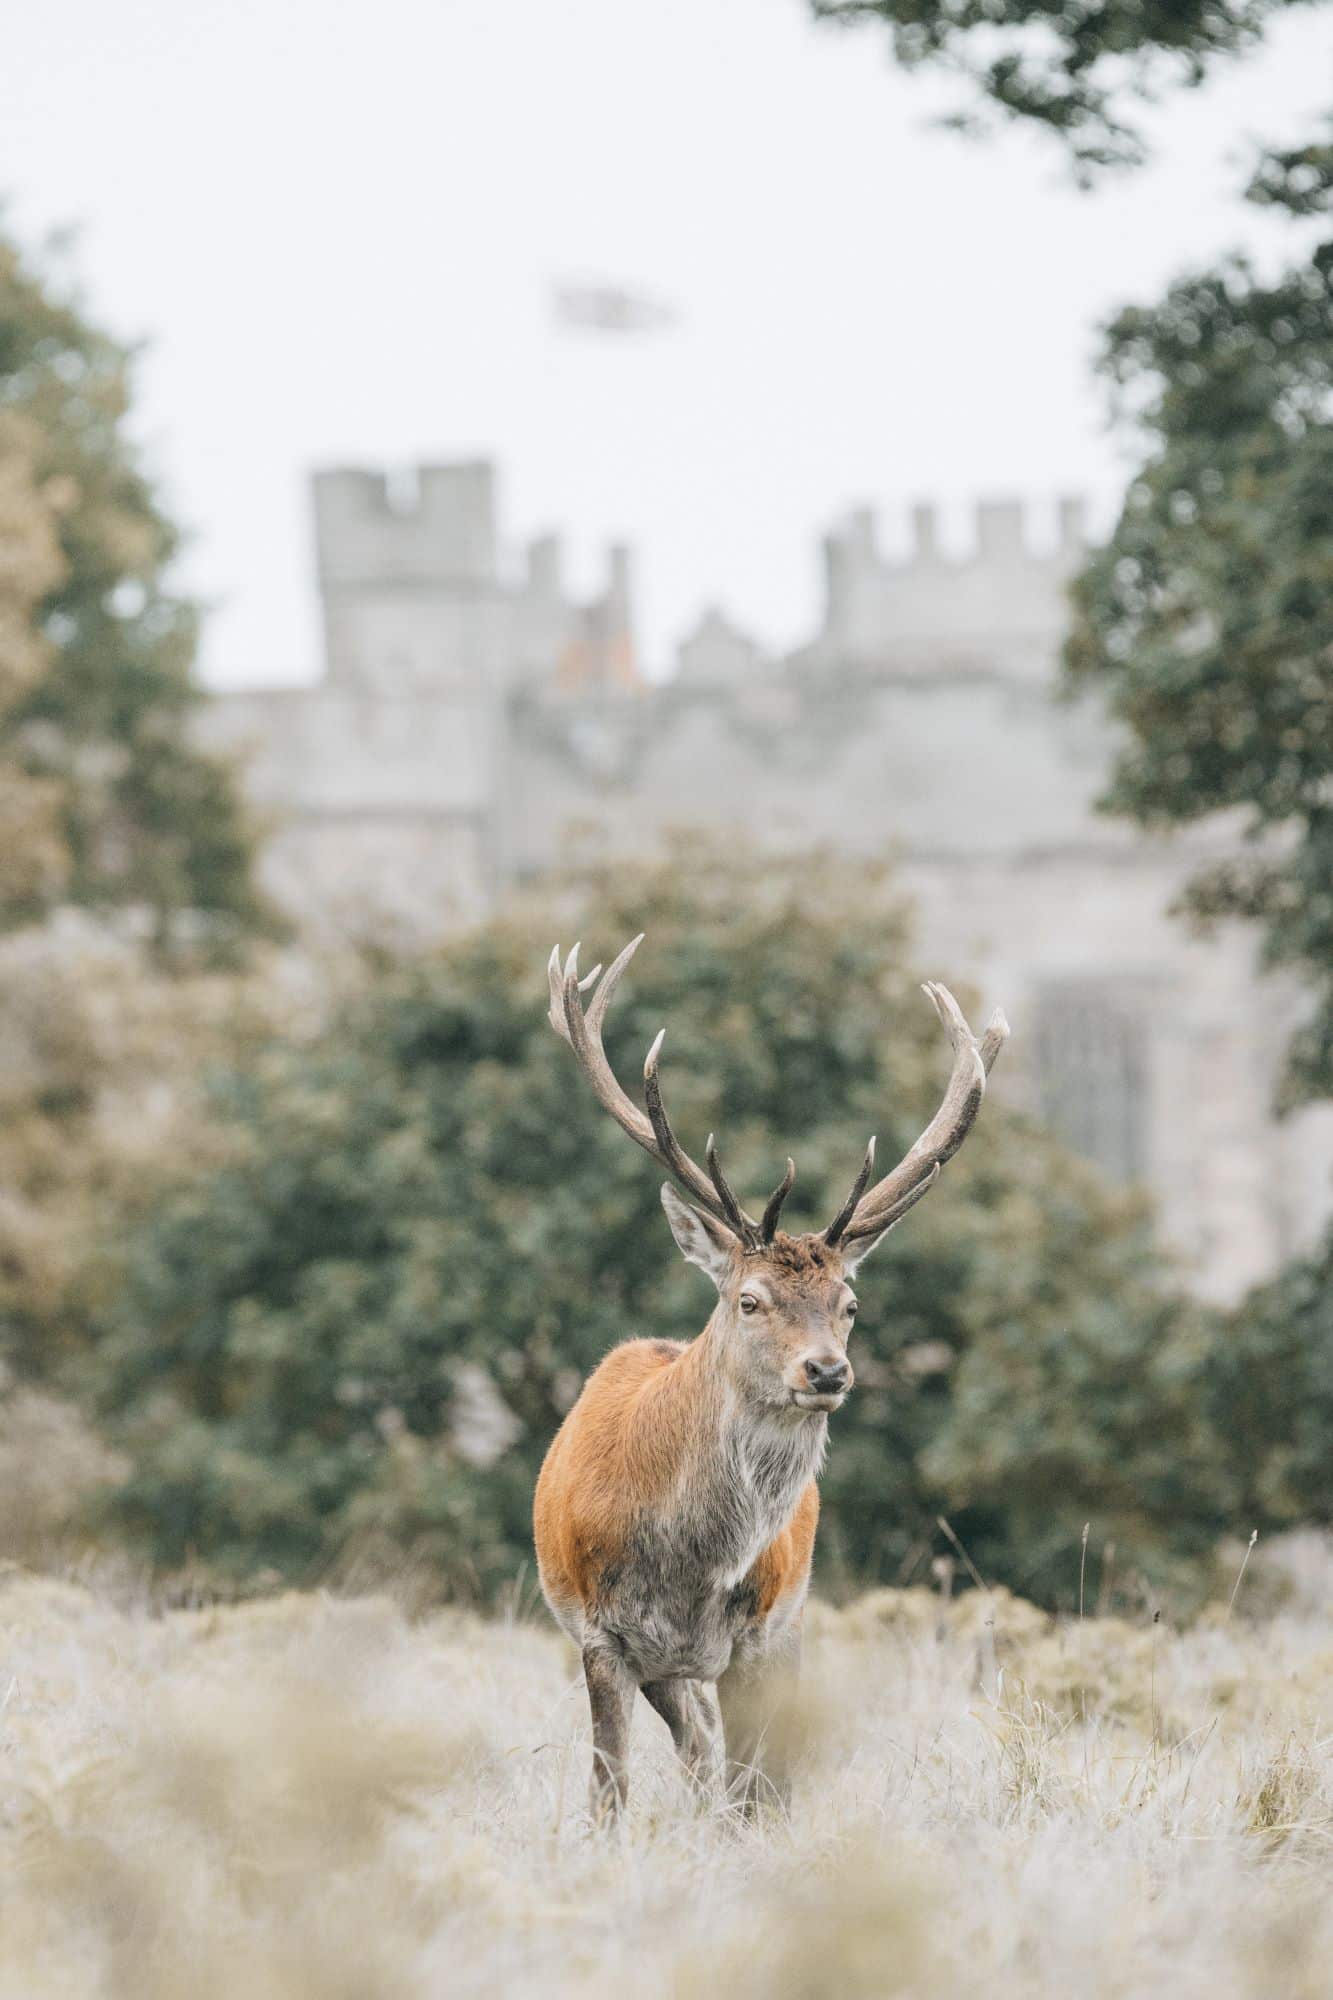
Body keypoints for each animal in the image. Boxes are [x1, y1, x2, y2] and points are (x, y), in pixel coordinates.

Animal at [533, 934, 1008, 1820]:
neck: (684, 1564)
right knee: (696, 1750)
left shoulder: (756, 1636)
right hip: (669, 1667)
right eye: (749, 1300)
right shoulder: (600, 1636)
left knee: (732, 1765)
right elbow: (609, 1790)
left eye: (850, 1302)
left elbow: (753, 1790)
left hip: (787, 1623)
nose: (826, 1370)